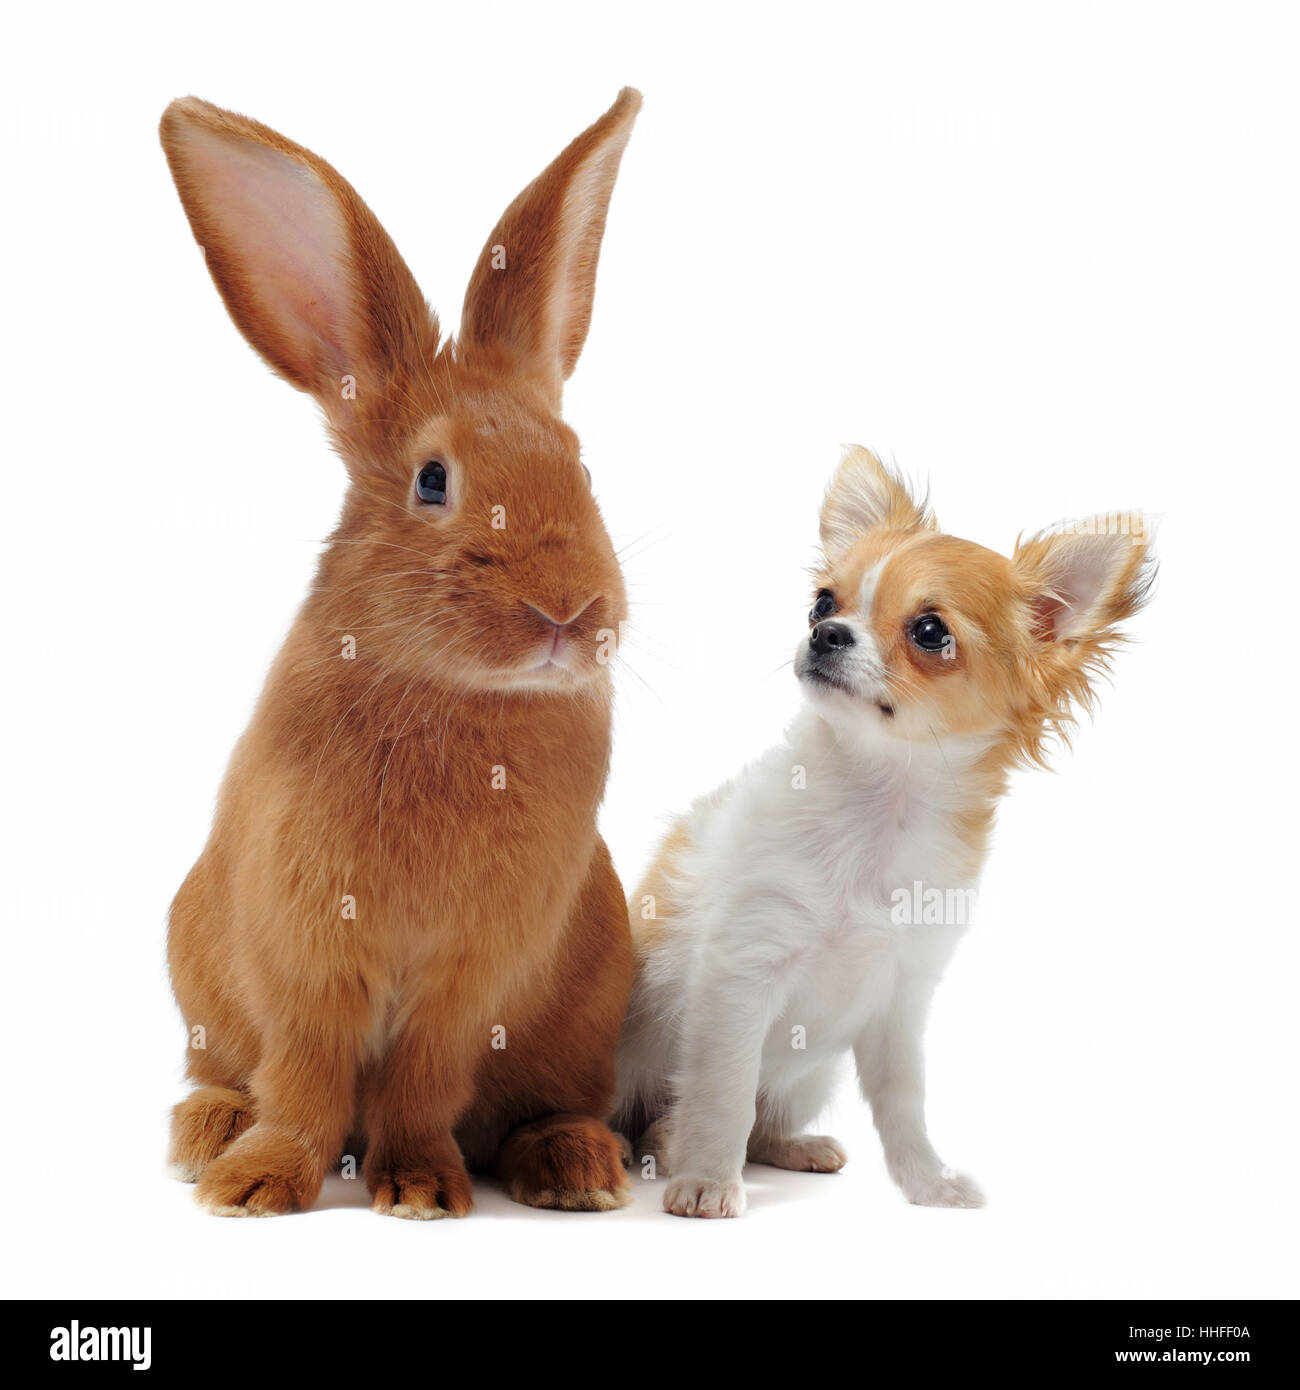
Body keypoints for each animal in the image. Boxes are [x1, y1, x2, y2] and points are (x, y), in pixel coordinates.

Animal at [160, 89, 641, 1218]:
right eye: (433, 480)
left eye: (577, 463)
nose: (569, 610)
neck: (454, 692)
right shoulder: (301, 949)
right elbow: (302, 1075)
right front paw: (254, 1186)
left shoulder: (473, 978)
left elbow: (426, 1079)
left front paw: (420, 1186)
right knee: (222, 1070)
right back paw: (207, 1134)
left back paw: (577, 1165)